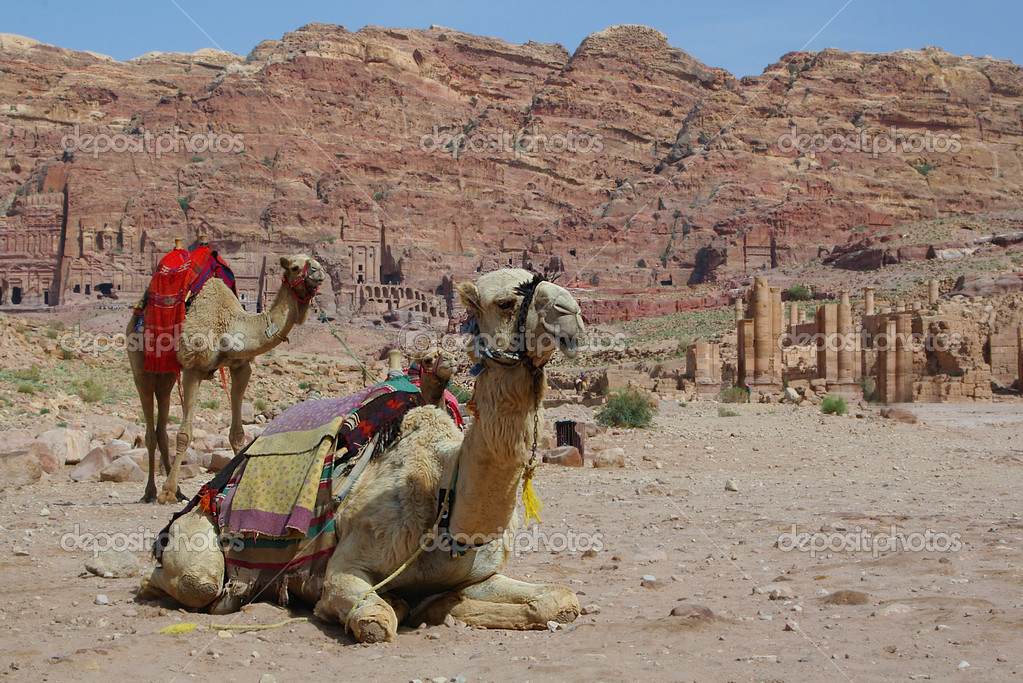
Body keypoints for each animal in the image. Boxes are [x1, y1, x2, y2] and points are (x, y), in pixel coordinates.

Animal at [127, 254, 326, 504]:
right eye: (295, 267)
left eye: (315, 260)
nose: (319, 272)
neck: (230, 326)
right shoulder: (193, 367)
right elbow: (184, 434)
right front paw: (166, 492)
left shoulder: (240, 367)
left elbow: (238, 434)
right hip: (140, 365)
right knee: (149, 423)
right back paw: (152, 491)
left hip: (166, 372)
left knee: (162, 414)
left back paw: (178, 491)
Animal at [138, 268, 585, 642]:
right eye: (506, 302)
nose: (573, 314)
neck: (446, 497)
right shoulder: (345, 570)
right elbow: (376, 619)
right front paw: (402, 607)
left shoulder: (478, 575)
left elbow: (560, 599)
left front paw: (438, 606)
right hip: (197, 541)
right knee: (198, 582)